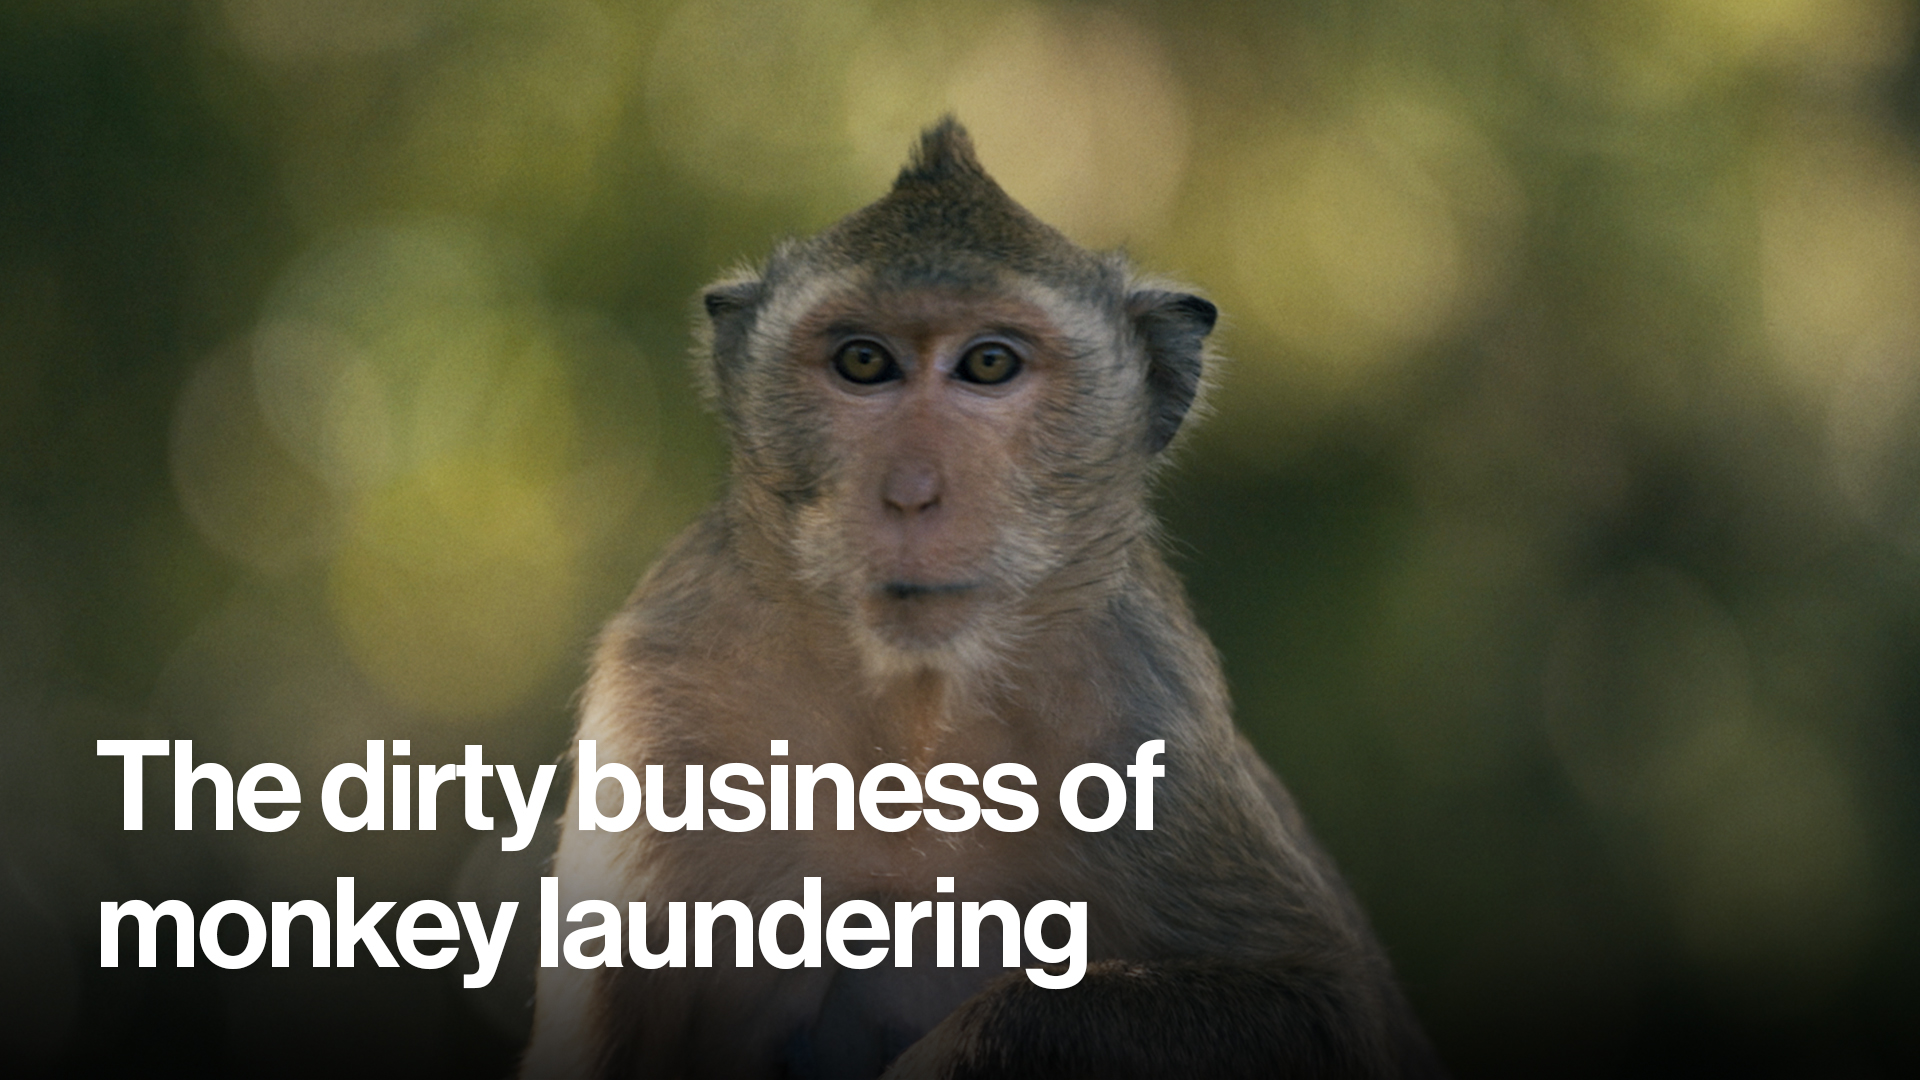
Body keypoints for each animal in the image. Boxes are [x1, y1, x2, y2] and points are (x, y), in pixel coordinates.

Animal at [521, 119, 1443, 1079]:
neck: (916, 705)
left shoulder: (1148, 715)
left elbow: (1326, 1004)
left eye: (989, 363)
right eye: (863, 361)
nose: (913, 493)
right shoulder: (667, 701)